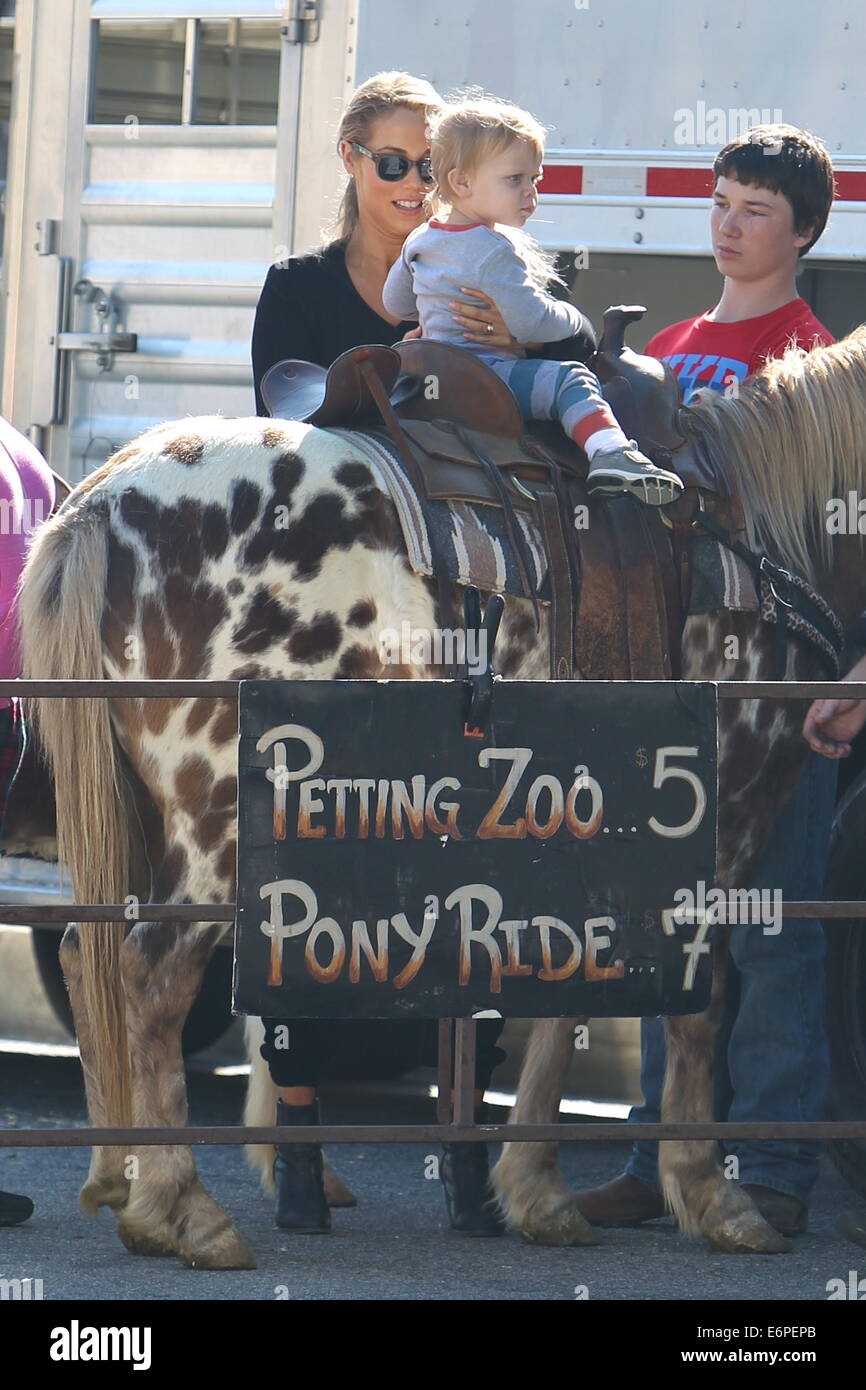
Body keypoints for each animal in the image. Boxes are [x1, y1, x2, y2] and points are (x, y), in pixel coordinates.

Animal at [16, 327, 866, 1269]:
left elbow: (566, 982)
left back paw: (121, 1178)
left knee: (89, 959)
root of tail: (104, 503)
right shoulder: (725, 818)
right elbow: (698, 1004)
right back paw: (182, 1209)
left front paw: (534, 1189)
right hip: (215, 824)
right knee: (151, 974)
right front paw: (715, 1198)